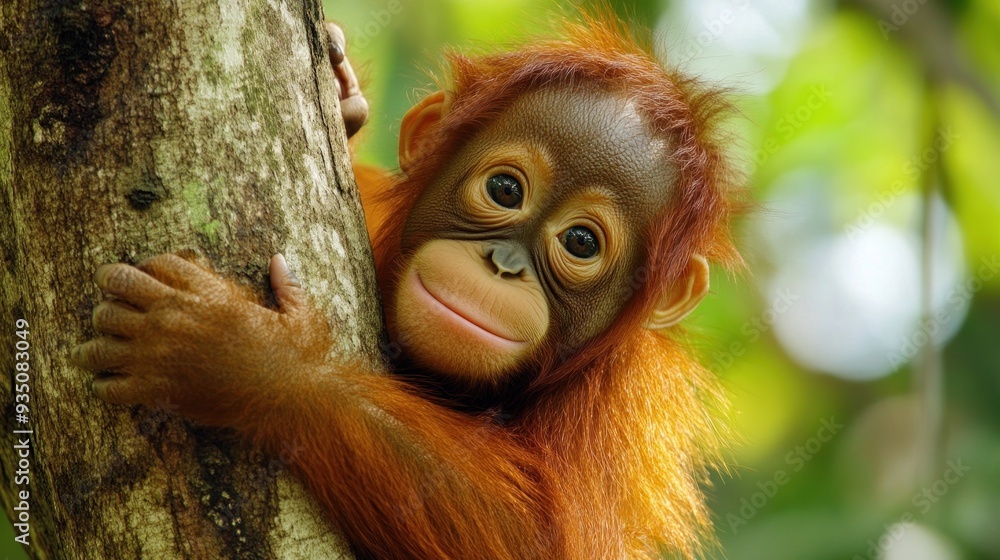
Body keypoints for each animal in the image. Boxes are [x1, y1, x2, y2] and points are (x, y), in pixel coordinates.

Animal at [71, 15, 746, 560]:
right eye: (506, 189)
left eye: (582, 243)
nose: (503, 264)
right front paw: (345, 99)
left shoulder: (612, 402)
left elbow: (537, 539)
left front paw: (249, 359)